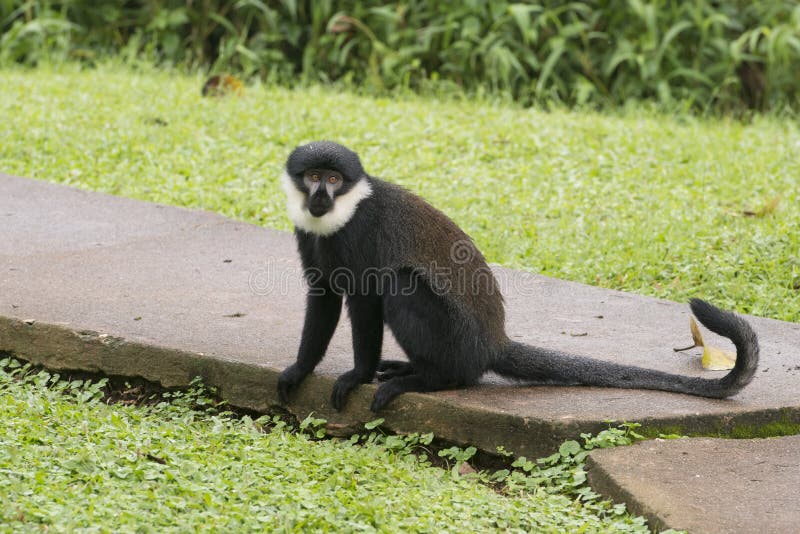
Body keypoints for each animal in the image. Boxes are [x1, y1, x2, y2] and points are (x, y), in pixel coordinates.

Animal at [276, 141, 759, 412]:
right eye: (314, 176)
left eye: (334, 179)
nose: (320, 196)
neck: (342, 213)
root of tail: (493, 343)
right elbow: (322, 295)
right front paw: (300, 369)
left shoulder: (359, 237)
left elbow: (365, 298)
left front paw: (356, 375)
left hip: (458, 341)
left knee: (403, 285)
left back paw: (432, 380)